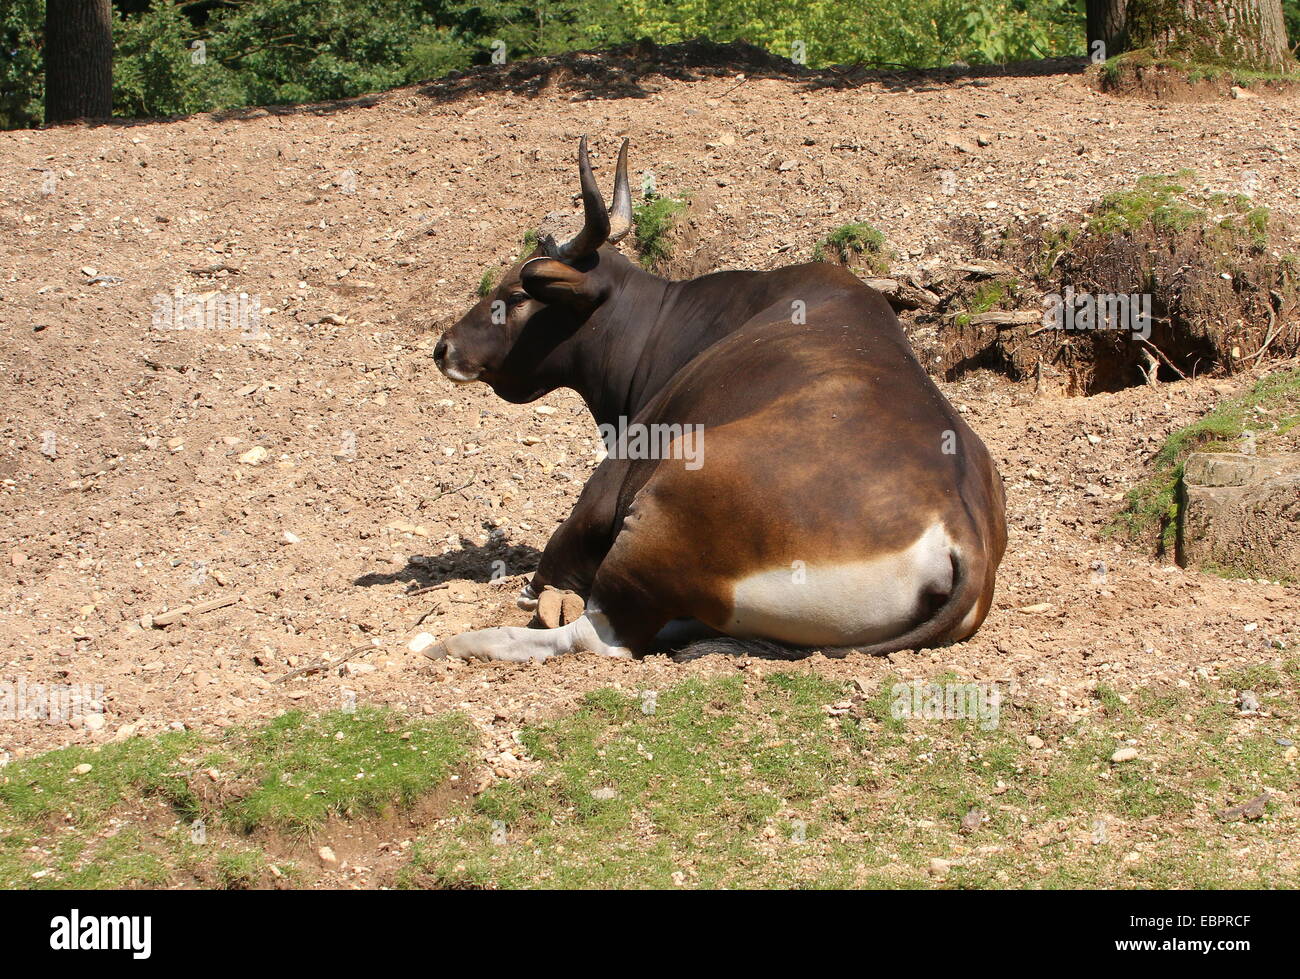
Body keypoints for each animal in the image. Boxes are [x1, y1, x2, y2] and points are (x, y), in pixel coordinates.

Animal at [429, 137, 1006, 662]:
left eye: (516, 295)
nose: (444, 347)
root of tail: (964, 542)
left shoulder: (609, 483)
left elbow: (548, 570)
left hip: (656, 512)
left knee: (600, 636)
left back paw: (456, 642)